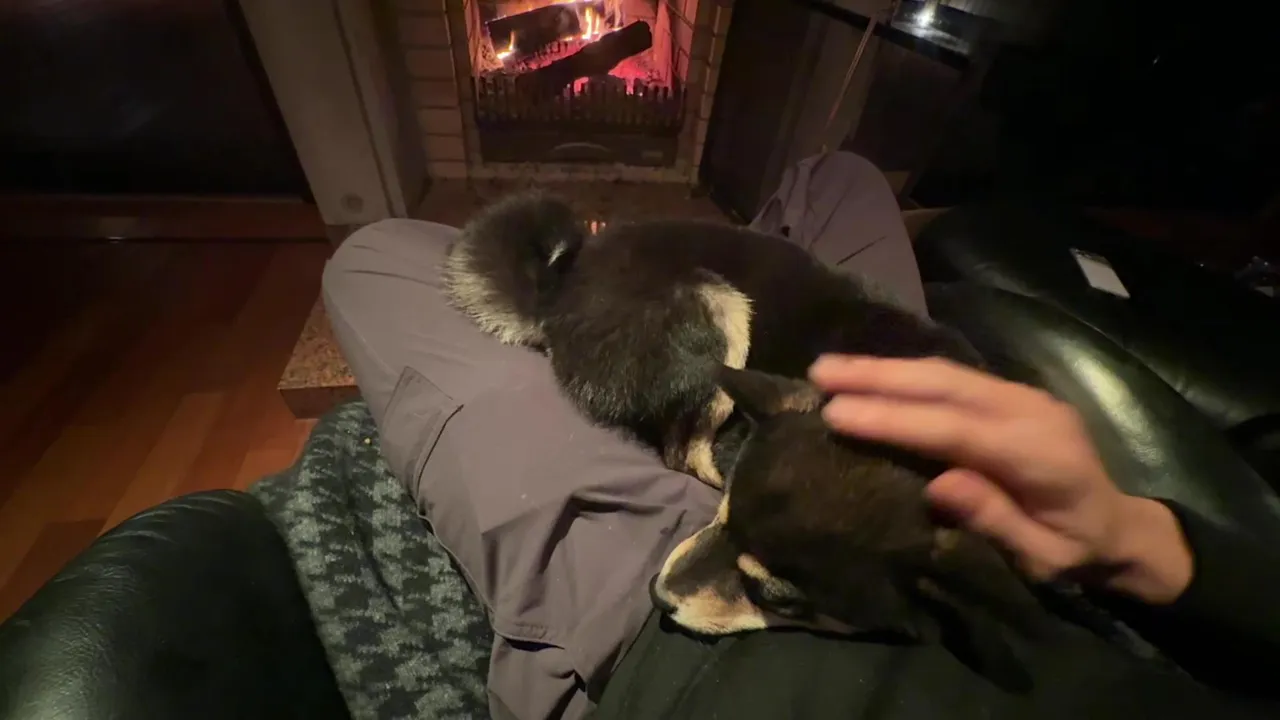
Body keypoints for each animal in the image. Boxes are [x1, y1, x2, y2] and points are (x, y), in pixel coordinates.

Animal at [444, 192, 1055, 685]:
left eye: (775, 596)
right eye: (725, 521)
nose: (655, 594)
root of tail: (559, 294)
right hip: (717, 308)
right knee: (683, 451)